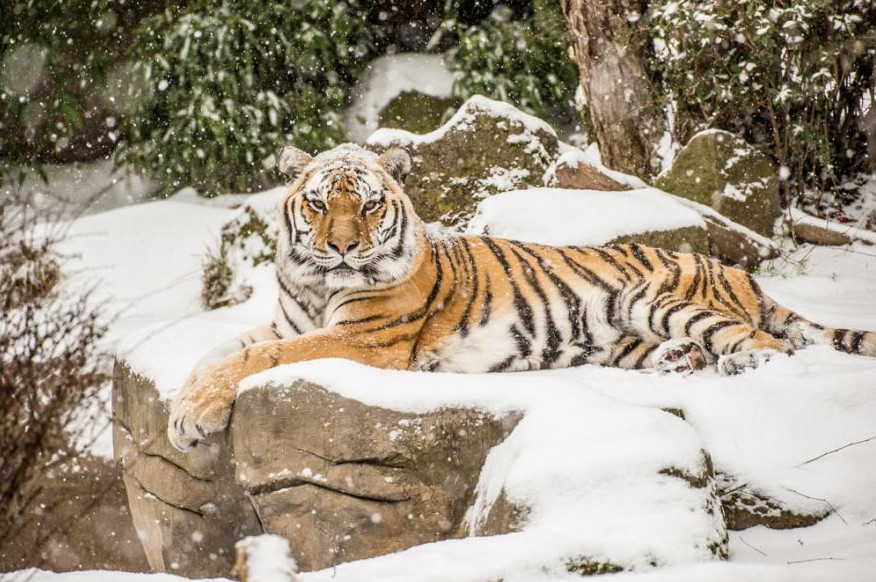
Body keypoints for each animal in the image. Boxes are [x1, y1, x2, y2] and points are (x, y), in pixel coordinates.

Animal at [167, 143, 876, 452]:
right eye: (318, 203)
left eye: (367, 205)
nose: (341, 247)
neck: (316, 281)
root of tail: (740, 273)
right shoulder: (286, 323)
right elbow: (215, 352)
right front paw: (185, 405)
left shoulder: (364, 339)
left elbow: (255, 360)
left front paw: (192, 416)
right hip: (620, 334)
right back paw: (685, 361)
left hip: (657, 299)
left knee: (765, 344)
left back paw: (737, 362)